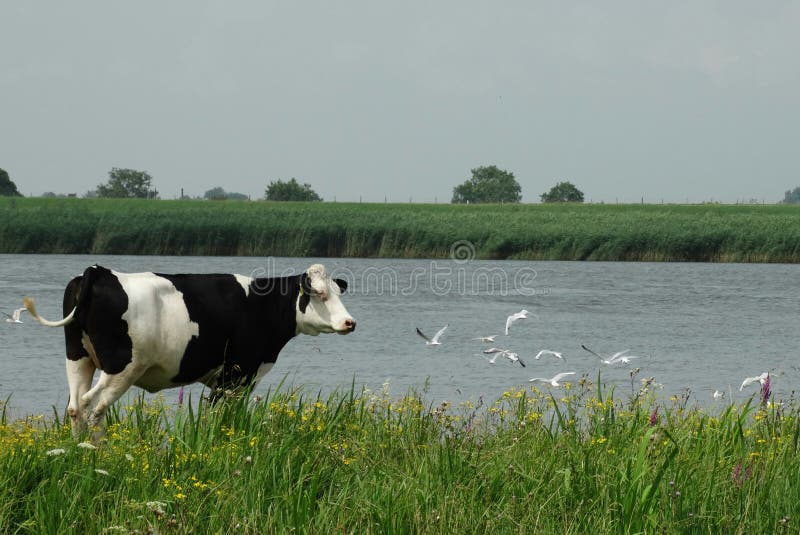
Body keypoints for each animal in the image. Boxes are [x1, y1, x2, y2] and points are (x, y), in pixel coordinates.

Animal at [23, 263, 356, 438]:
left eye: (337, 292)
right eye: (320, 294)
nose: (349, 322)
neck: (261, 304)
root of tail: (99, 271)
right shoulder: (237, 375)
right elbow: (222, 418)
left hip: (78, 357)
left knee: (75, 406)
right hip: (121, 366)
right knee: (94, 405)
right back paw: (98, 452)